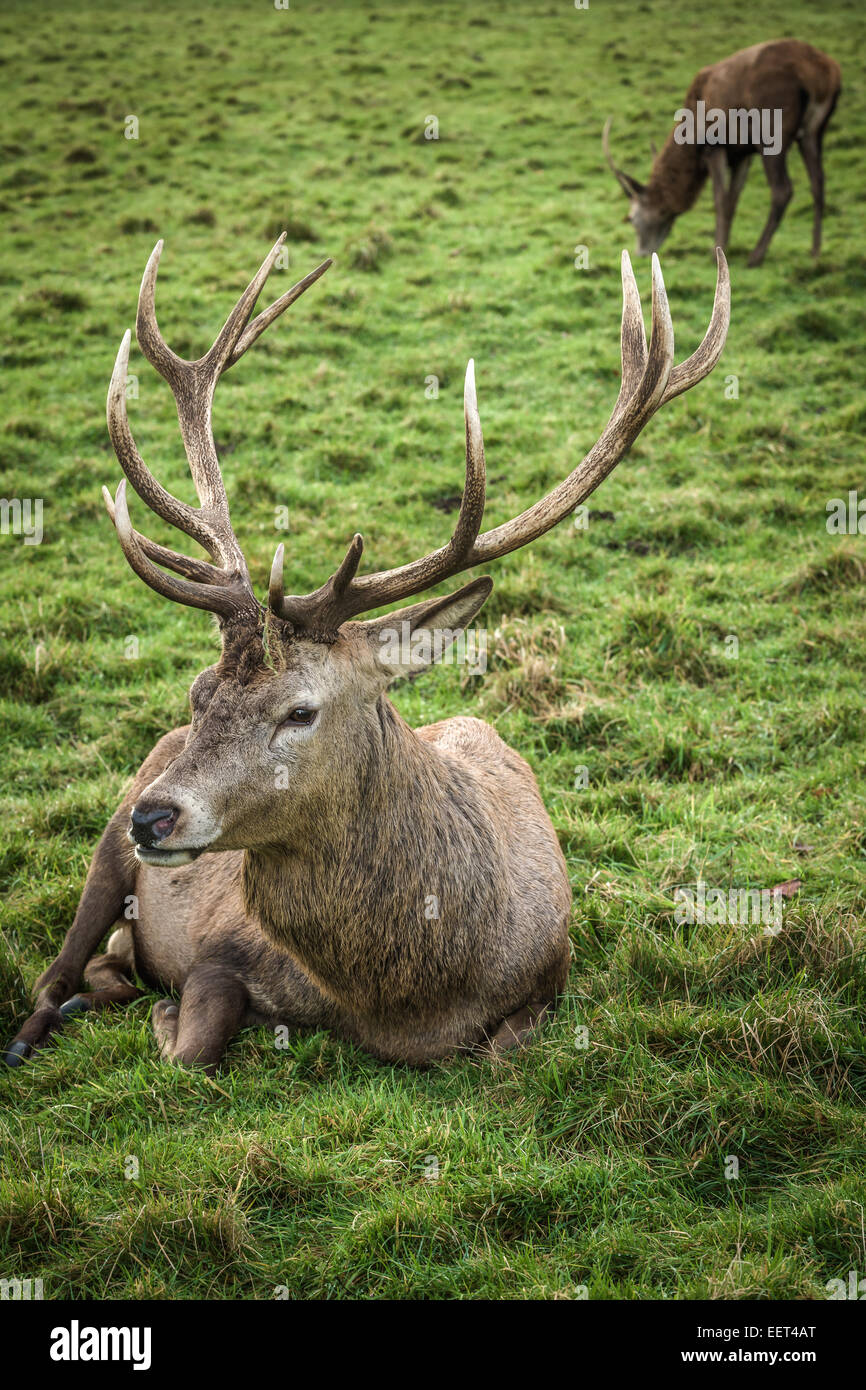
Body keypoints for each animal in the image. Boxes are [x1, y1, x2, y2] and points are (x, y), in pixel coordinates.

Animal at [4, 234, 729, 1075]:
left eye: (300, 711)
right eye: (199, 690)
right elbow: (193, 1048)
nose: (154, 817)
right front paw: (165, 1015)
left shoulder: (552, 972)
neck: (409, 996)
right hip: (107, 841)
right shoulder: (219, 943)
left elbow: (501, 1057)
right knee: (54, 972)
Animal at [603, 39, 841, 267]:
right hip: (814, 131)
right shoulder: (743, 153)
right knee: (818, 181)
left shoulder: (715, 146)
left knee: (783, 189)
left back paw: (756, 256)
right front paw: (724, 245)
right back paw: (815, 250)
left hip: (774, 131)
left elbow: (720, 199)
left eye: (632, 219)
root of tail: (823, 74)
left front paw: (714, 250)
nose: (641, 252)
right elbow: (733, 200)